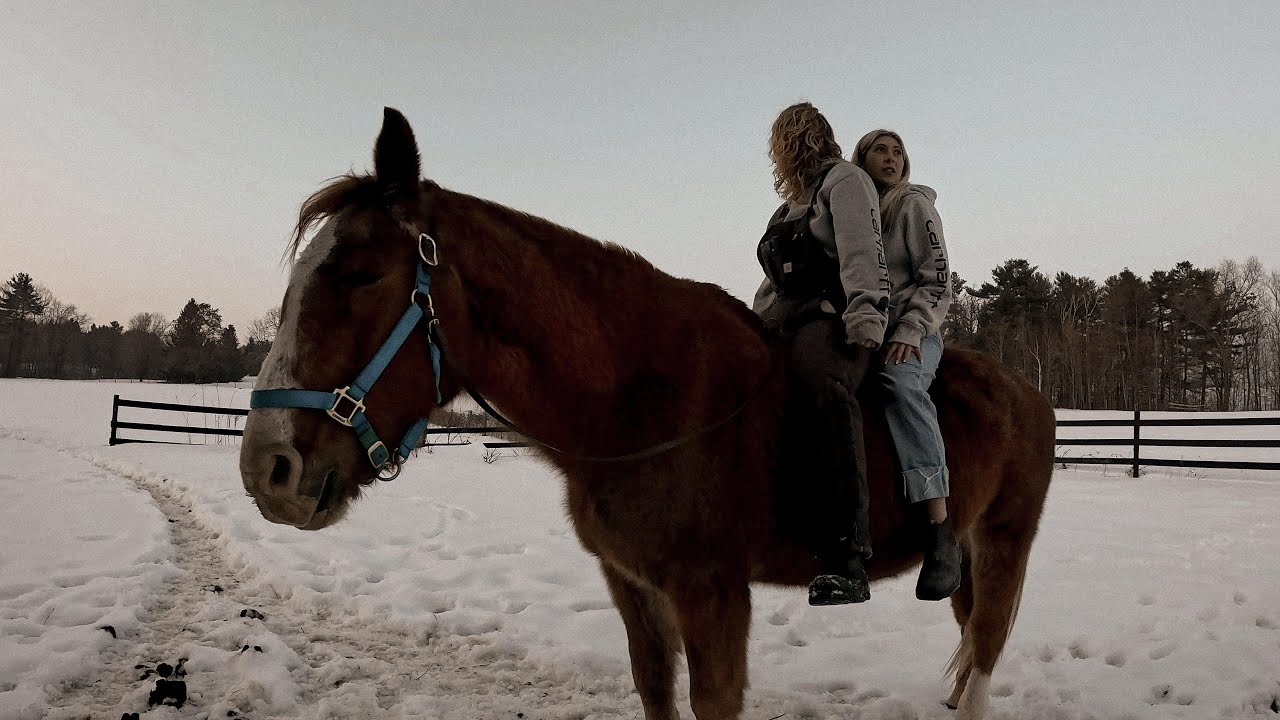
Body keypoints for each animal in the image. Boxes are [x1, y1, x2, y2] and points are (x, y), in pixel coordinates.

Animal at [239, 108, 1056, 720]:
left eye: (359, 275)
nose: (267, 470)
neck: (639, 398)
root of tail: (1027, 394)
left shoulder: (712, 594)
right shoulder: (632, 586)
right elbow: (654, 689)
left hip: (1003, 543)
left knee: (985, 655)